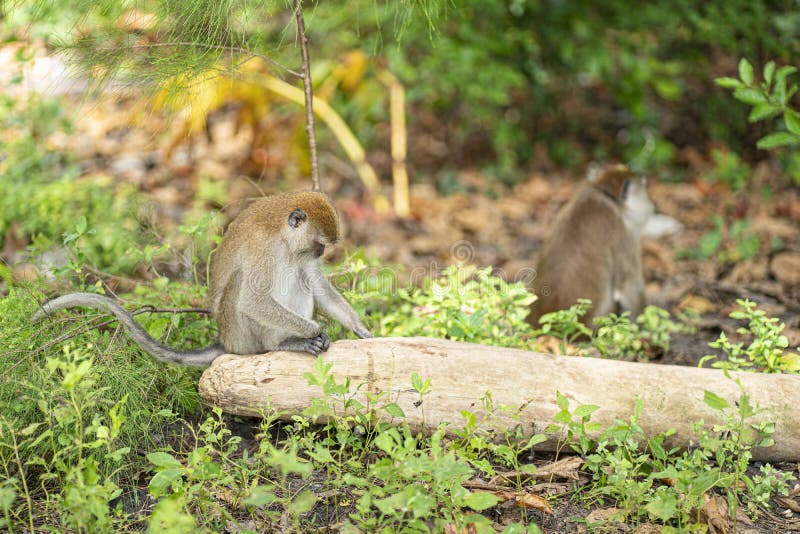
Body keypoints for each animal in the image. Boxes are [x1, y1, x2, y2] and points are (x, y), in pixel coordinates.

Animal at [32, 191, 372, 366]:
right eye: (320, 245)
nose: (320, 254)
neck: (282, 235)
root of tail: (225, 340)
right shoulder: (265, 247)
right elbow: (253, 301)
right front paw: (315, 329)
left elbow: (317, 285)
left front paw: (359, 328)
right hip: (241, 336)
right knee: (243, 288)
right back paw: (286, 343)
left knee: (300, 279)